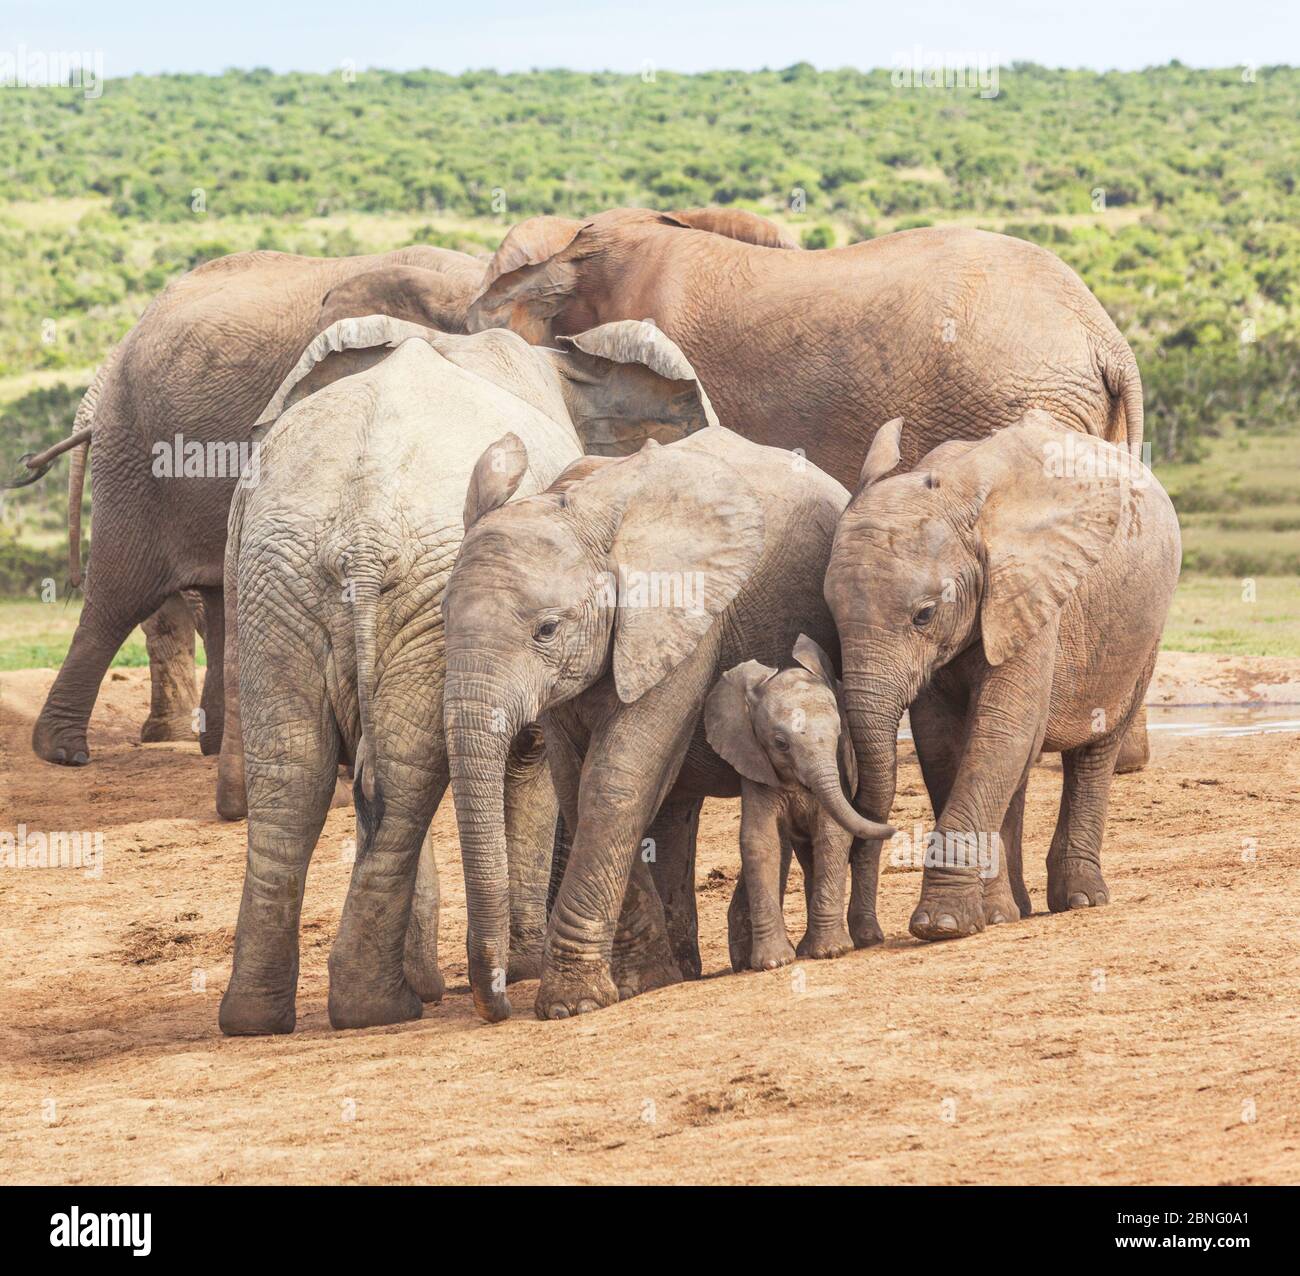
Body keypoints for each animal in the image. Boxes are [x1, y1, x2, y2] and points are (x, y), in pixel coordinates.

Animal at [217, 313, 719, 1034]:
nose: (500, 998)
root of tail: (363, 529)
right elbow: (530, 760)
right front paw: (523, 968)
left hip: (277, 581)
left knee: (302, 771)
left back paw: (272, 1017)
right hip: (375, 582)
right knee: (397, 774)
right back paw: (376, 1007)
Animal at [703, 634, 894, 973]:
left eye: (839, 734)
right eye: (780, 744)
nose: (894, 829)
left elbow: (832, 833)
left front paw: (831, 951)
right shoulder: (756, 764)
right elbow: (760, 840)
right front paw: (774, 961)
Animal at [823, 413, 1180, 946]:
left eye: (924, 614)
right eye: (829, 613)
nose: (869, 935)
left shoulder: (1033, 596)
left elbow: (1000, 732)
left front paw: (942, 925)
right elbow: (945, 744)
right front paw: (986, 916)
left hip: (1144, 629)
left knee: (1095, 749)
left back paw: (1080, 900)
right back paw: (1015, 910)